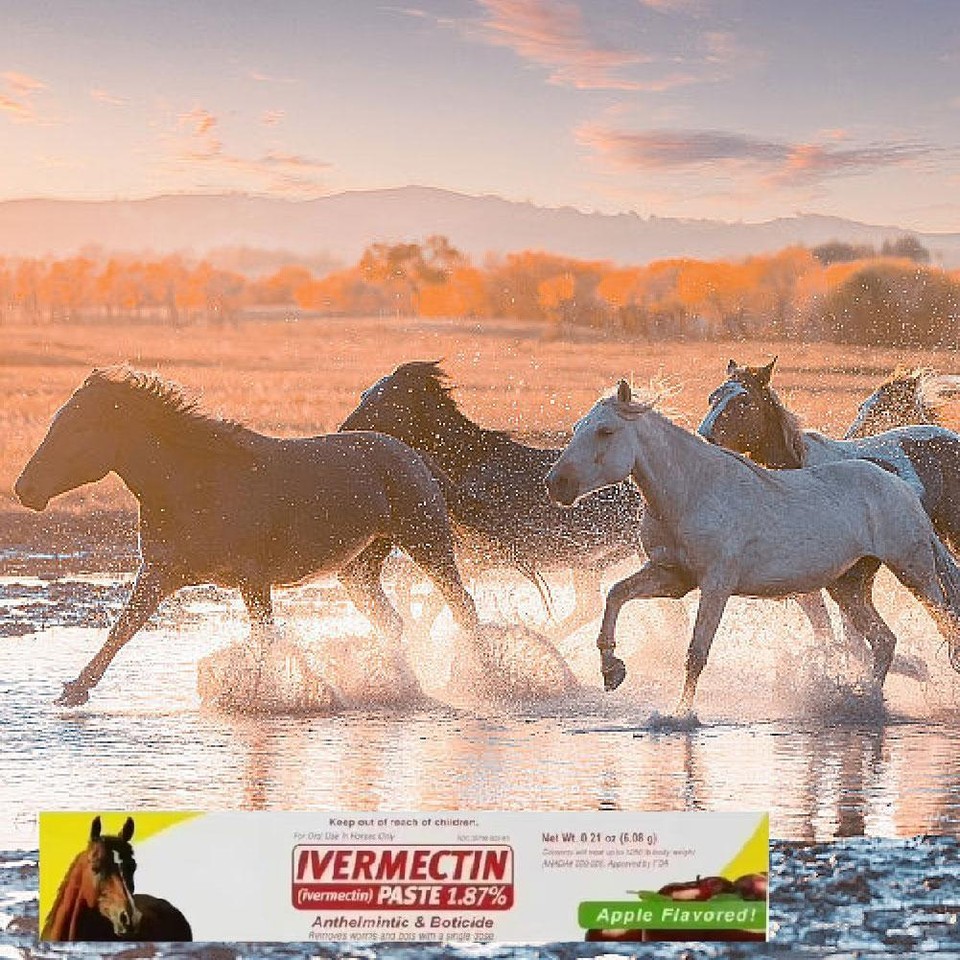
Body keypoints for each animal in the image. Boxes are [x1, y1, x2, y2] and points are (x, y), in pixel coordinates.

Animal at [15, 367, 480, 706]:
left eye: (77, 429)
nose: (24, 489)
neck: (195, 486)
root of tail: (413, 454)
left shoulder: (253, 580)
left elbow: (264, 641)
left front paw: (267, 698)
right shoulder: (160, 572)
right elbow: (122, 630)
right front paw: (74, 691)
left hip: (427, 542)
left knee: (463, 606)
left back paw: (482, 678)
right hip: (358, 568)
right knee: (393, 622)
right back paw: (397, 684)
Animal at [339, 361, 645, 634]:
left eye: (385, 398)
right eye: (364, 395)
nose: (344, 430)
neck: (465, 463)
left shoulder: (481, 553)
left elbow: (440, 600)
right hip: (590, 560)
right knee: (589, 606)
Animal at [546, 380, 960, 713]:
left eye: (605, 430)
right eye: (577, 428)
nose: (557, 484)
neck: (694, 491)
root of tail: (902, 487)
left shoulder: (716, 585)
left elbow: (696, 653)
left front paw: (679, 716)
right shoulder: (672, 578)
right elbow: (616, 594)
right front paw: (611, 672)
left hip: (915, 574)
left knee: (944, 626)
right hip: (849, 585)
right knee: (883, 640)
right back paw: (866, 700)